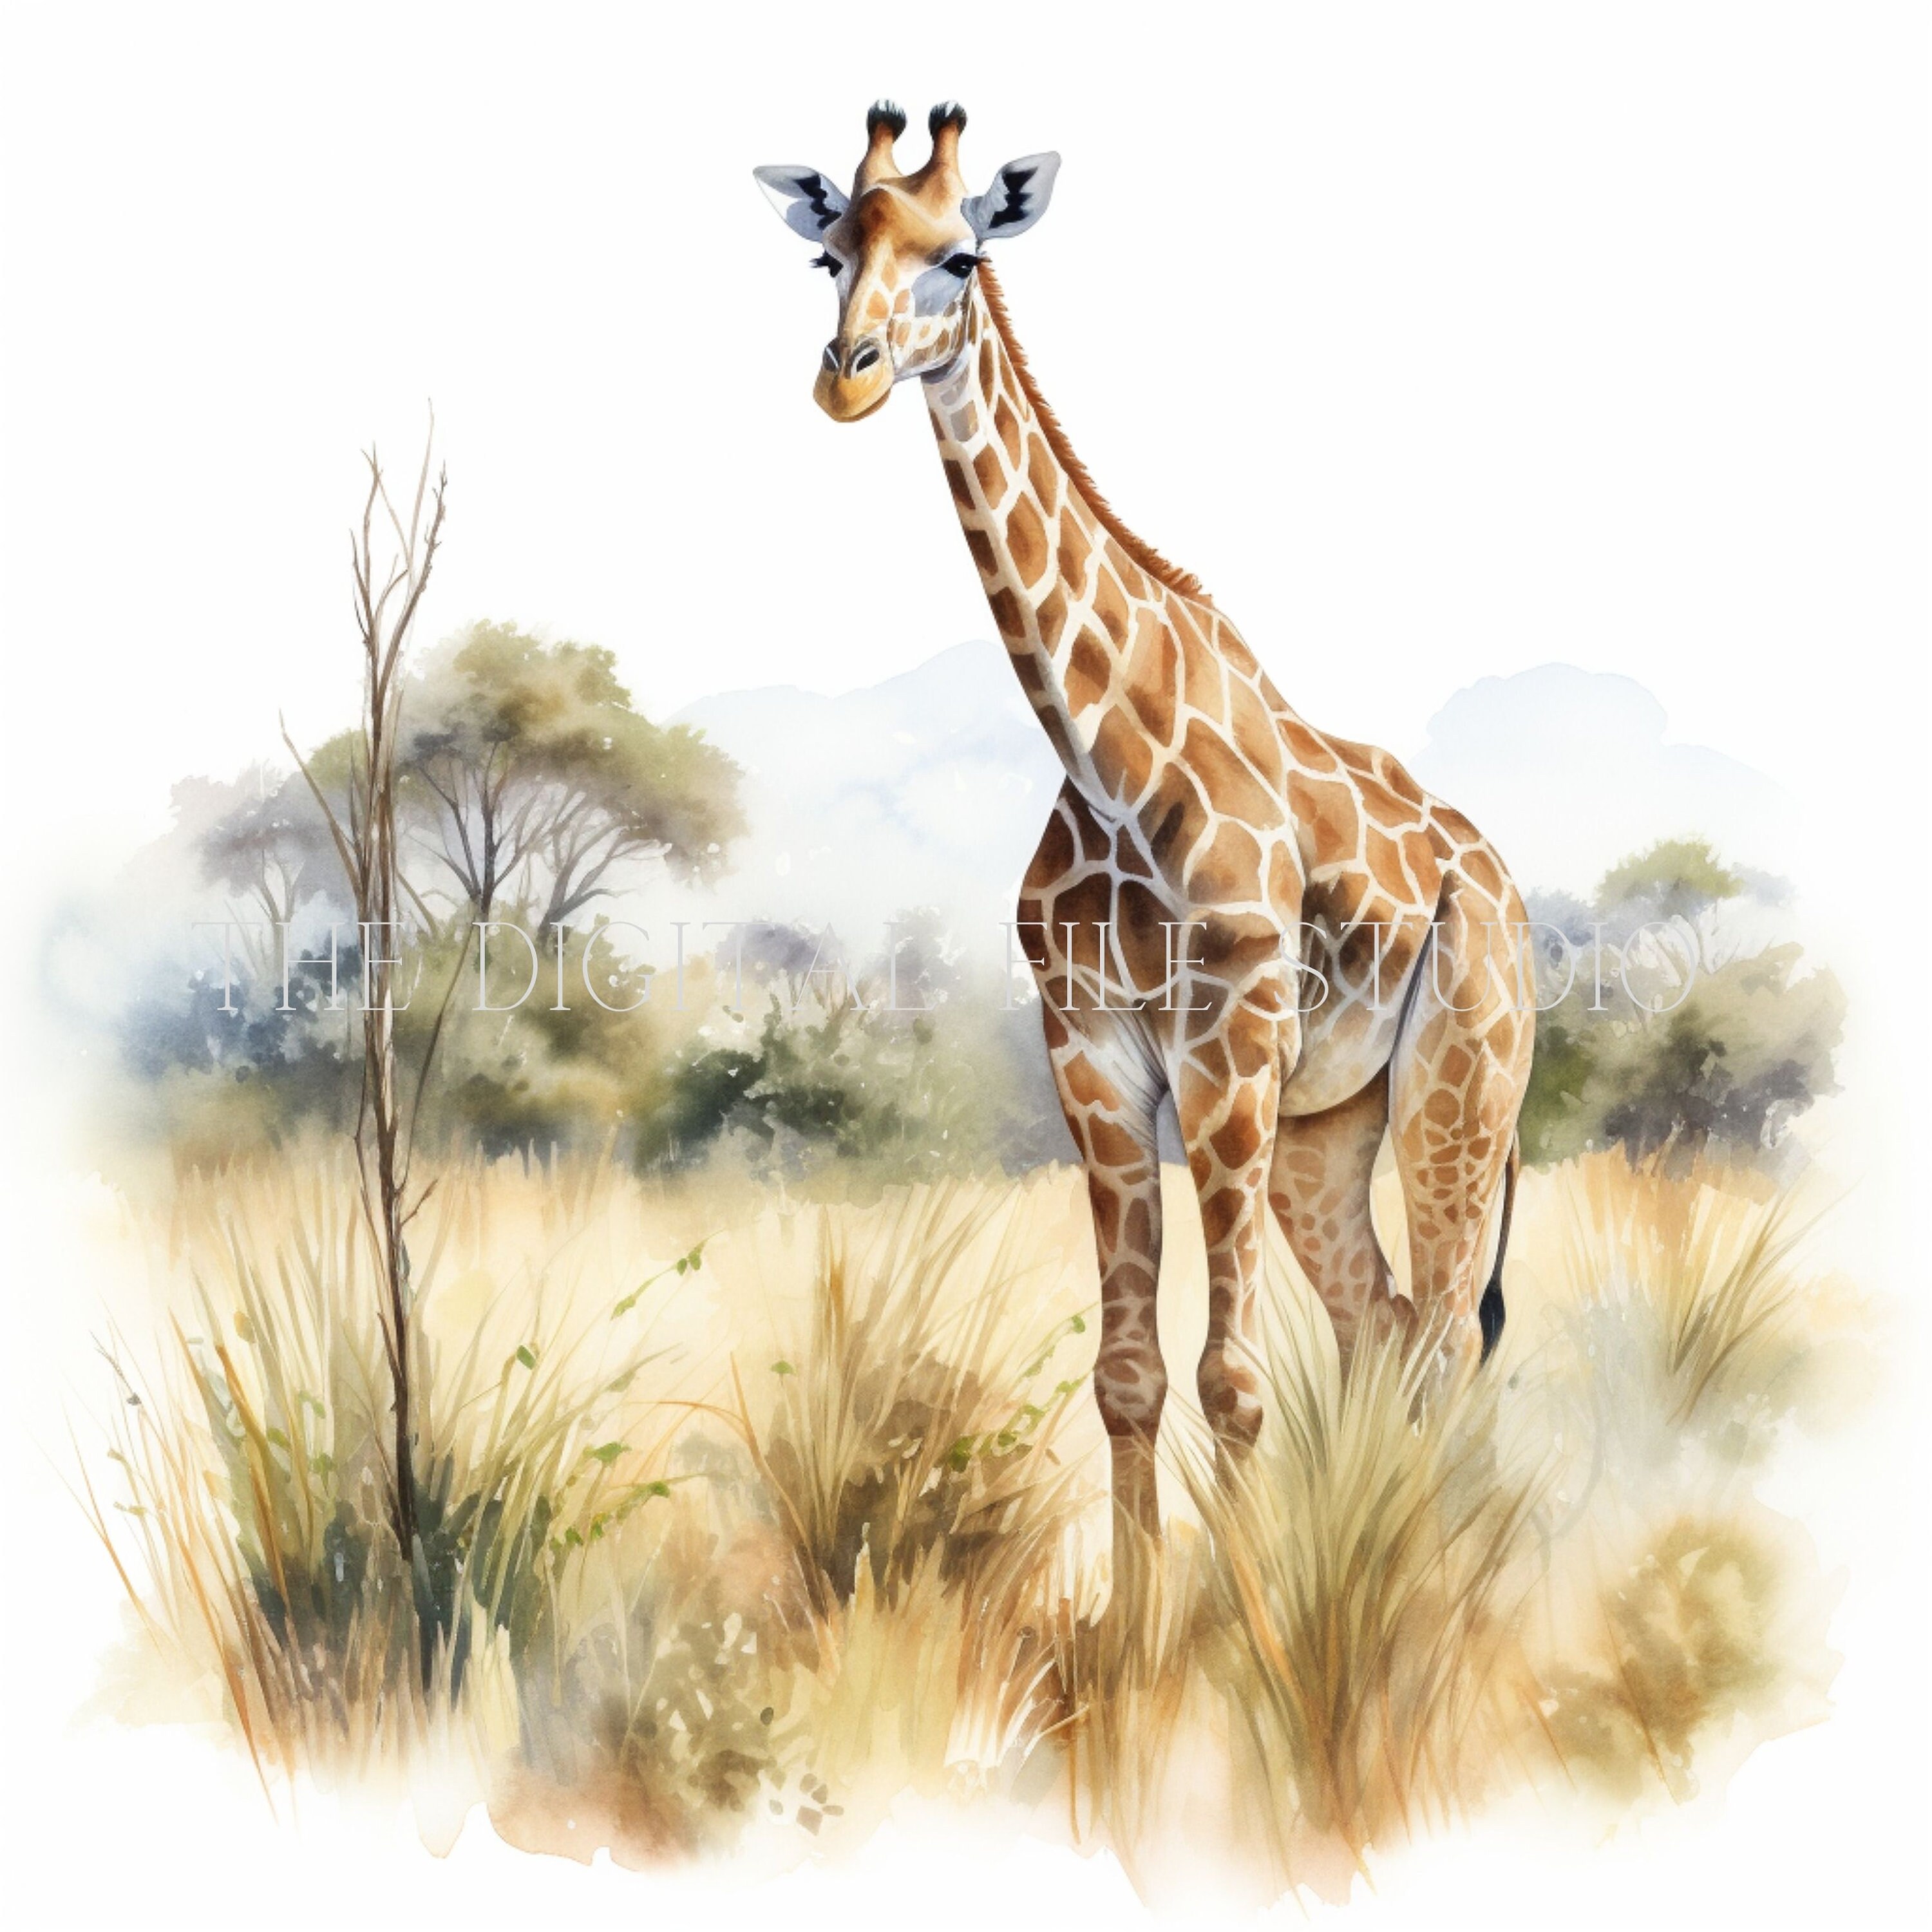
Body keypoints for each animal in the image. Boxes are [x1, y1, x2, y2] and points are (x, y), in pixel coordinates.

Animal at [754, 103, 1535, 1541]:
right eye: (828, 256)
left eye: (960, 257)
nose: (849, 375)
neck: (1108, 765)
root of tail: (1507, 891)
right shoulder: (1097, 1061)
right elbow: (1128, 1376)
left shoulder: (1228, 1057)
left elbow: (1231, 1382)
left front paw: (1237, 1611)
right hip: (1328, 1129)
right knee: (1387, 1323)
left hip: (1460, 1089)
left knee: (1452, 1334)